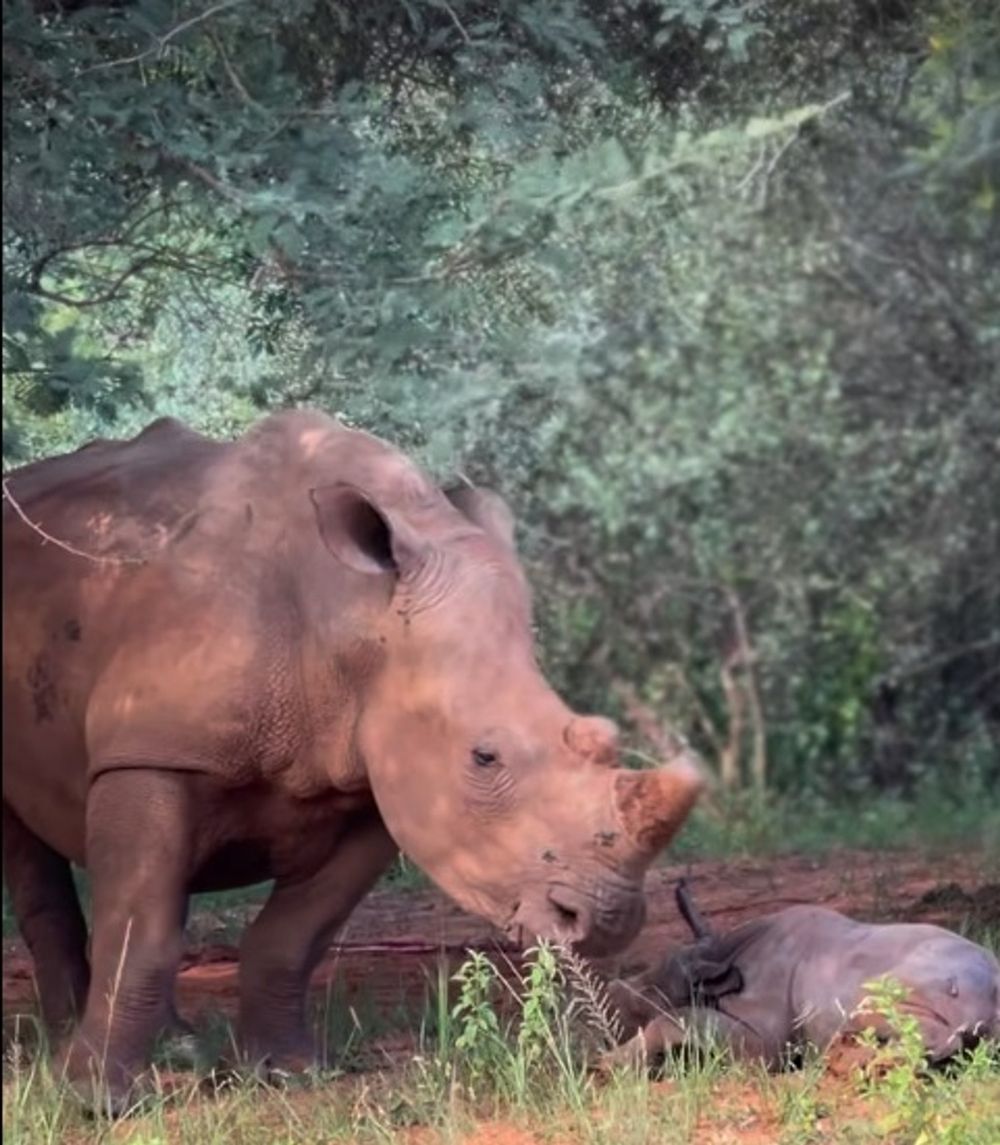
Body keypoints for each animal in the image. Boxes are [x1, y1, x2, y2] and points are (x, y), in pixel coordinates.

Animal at [2, 410, 703, 1108]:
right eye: (484, 757)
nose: (606, 921)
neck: (351, 618)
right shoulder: (152, 753)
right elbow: (138, 928)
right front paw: (95, 1099)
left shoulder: (377, 781)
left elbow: (293, 935)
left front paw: (289, 1072)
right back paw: (66, 1048)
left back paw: (176, 1045)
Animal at [603, 880, 1000, 1072]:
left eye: (648, 992)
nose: (613, 988)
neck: (721, 959)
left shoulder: (765, 1044)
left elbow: (676, 1019)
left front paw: (609, 1065)